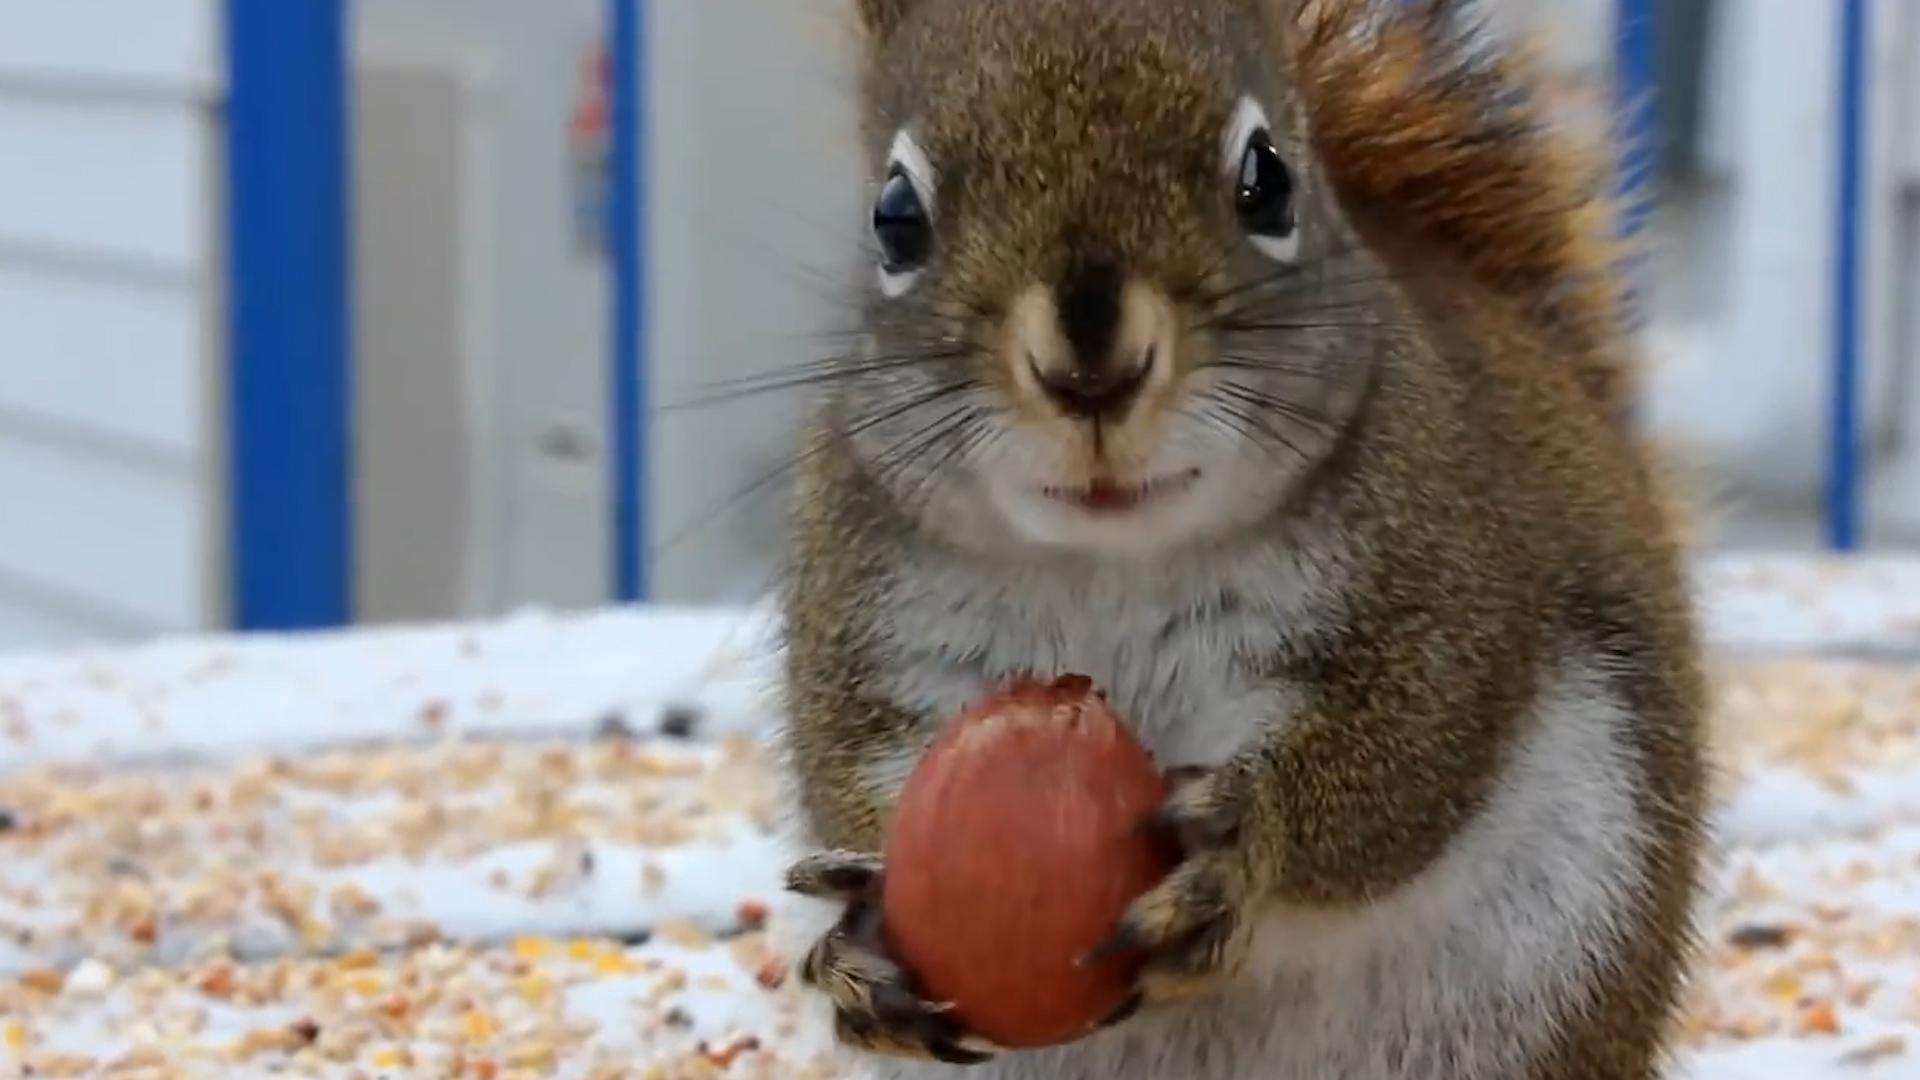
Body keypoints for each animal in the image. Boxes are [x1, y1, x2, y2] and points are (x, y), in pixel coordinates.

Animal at [769, 0, 1707, 1078]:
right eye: (895, 217)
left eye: (1268, 180)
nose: (1093, 368)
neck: (1114, 559)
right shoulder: (862, 607)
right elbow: (839, 753)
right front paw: (862, 944)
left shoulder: (1451, 565)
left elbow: (1416, 745)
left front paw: (1242, 843)